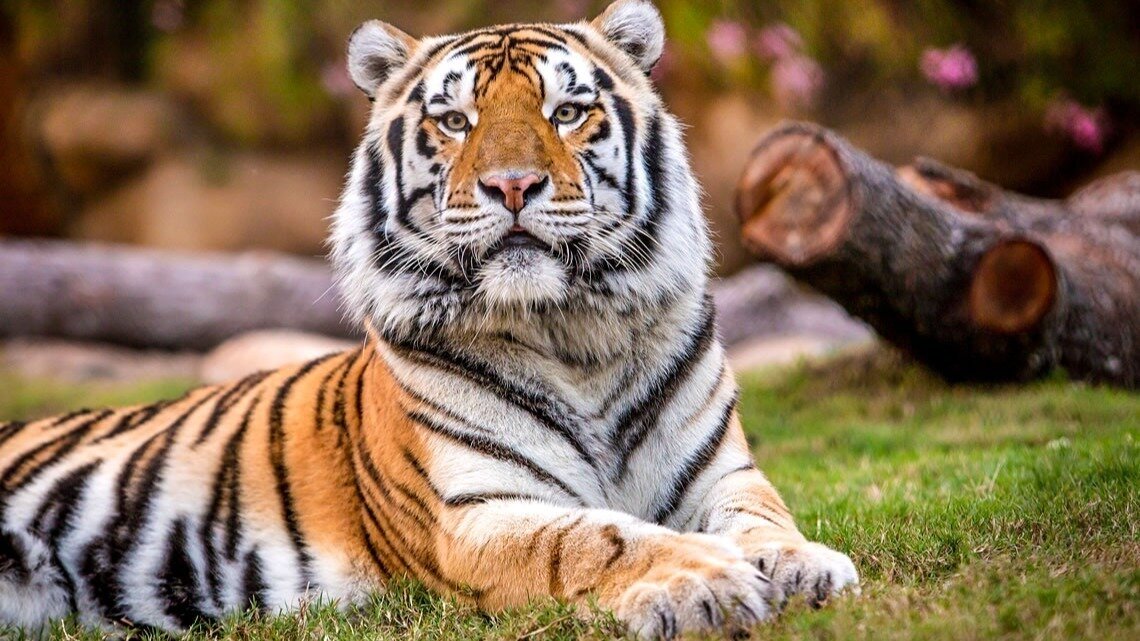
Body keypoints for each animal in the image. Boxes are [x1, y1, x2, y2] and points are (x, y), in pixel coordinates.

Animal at [0, 1, 858, 638]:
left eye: (567, 112)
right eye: (454, 121)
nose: (513, 186)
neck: (575, 335)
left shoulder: (722, 473)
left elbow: (764, 518)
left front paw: (807, 564)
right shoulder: (475, 515)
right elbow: (594, 537)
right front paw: (704, 579)